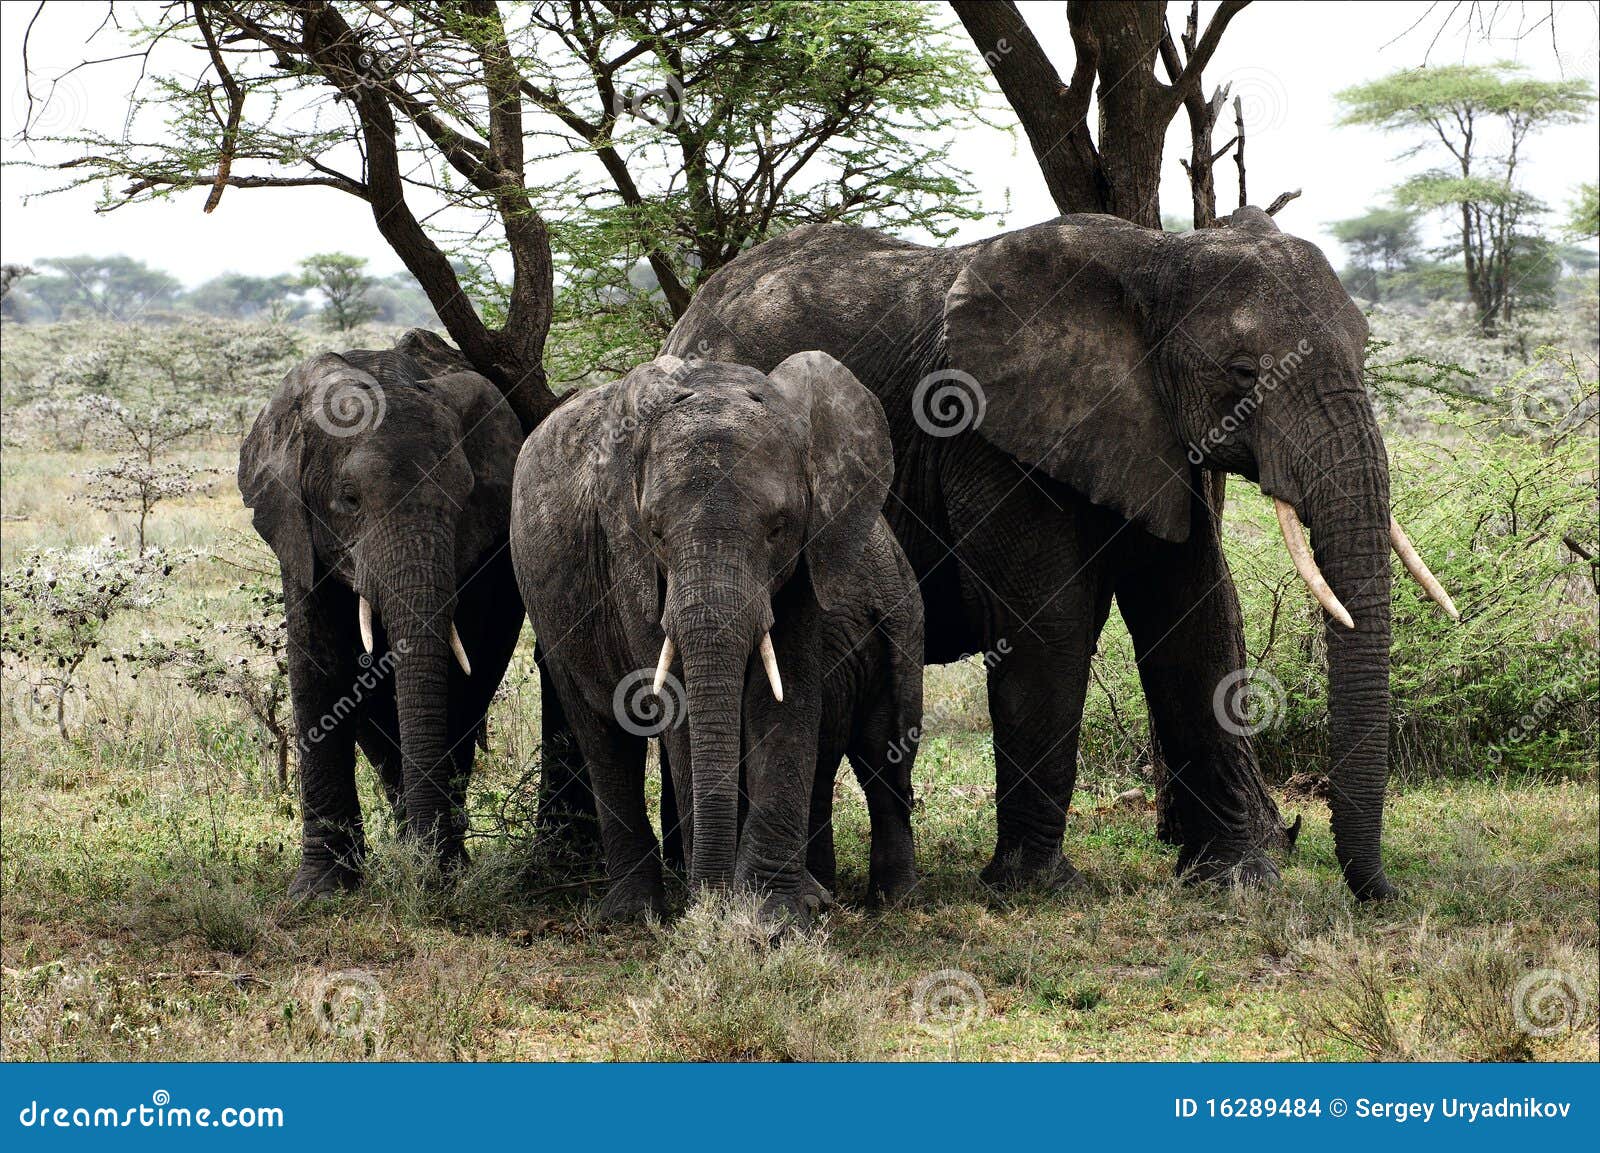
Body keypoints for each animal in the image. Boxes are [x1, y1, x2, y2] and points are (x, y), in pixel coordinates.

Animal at [239, 331, 528, 895]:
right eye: (349, 500)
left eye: (463, 499)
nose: (430, 873)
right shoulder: (296, 534)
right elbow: (319, 669)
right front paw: (319, 890)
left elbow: (460, 675)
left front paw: (439, 867)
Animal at [509, 351, 925, 922]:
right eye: (655, 531)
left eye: (778, 527)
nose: (711, 895)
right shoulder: (630, 562)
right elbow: (678, 704)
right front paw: (720, 908)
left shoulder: (805, 557)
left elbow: (786, 695)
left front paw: (775, 917)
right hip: (550, 614)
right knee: (604, 739)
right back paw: (633, 912)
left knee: (883, 754)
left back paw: (889, 901)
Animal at [664, 208, 1458, 901]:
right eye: (1241, 372)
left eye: (1364, 350)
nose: (1383, 893)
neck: (1156, 257)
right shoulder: (988, 437)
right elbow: (1050, 628)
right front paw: (1036, 888)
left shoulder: (1153, 433)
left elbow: (1192, 624)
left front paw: (1239, 879)